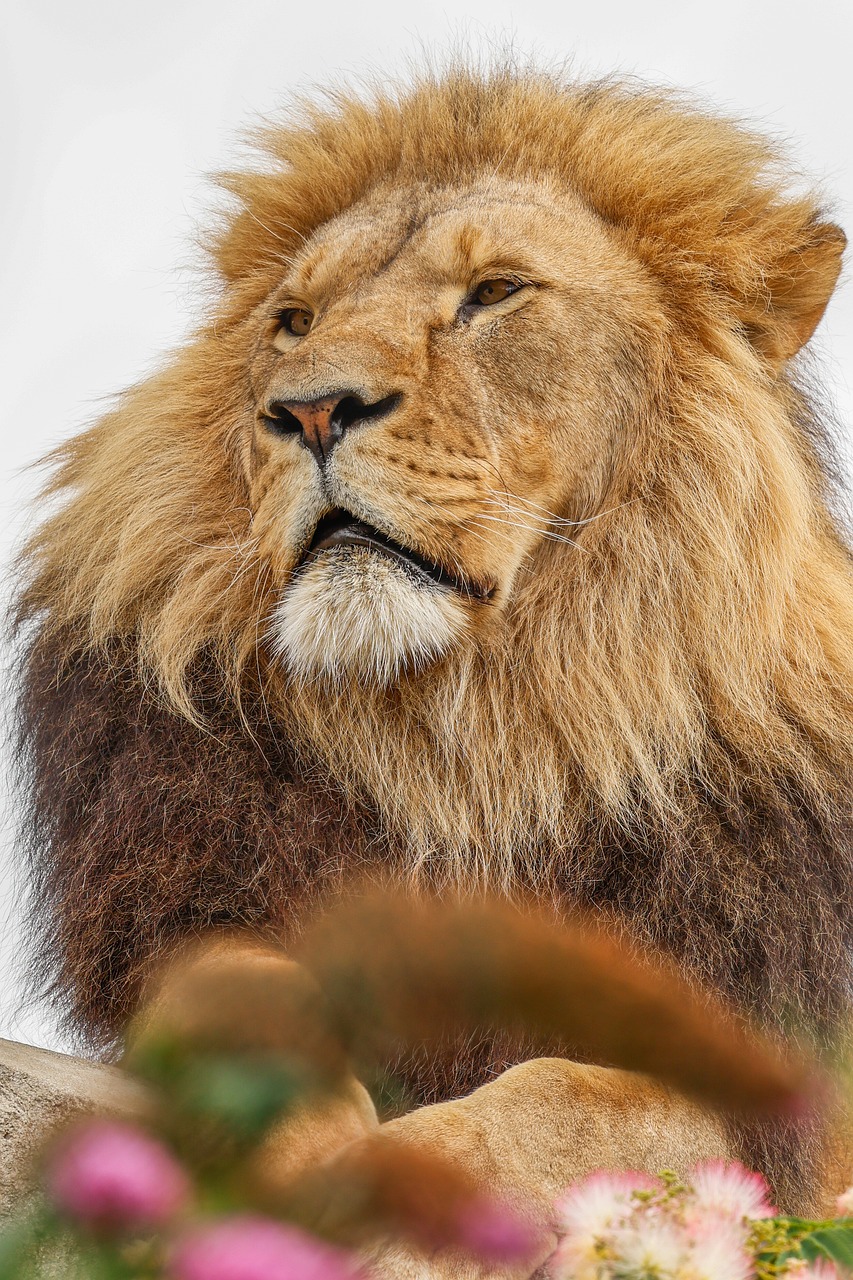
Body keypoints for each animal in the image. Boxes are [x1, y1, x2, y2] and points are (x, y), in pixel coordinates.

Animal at [13, 64, 853, 1274]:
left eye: (495, 292)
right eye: (294, 322)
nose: (309, 406)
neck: (472, 743)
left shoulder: (770, 1079)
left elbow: (574, 1097)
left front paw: (406, 1195)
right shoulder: (187, 908)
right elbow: (237, 990)